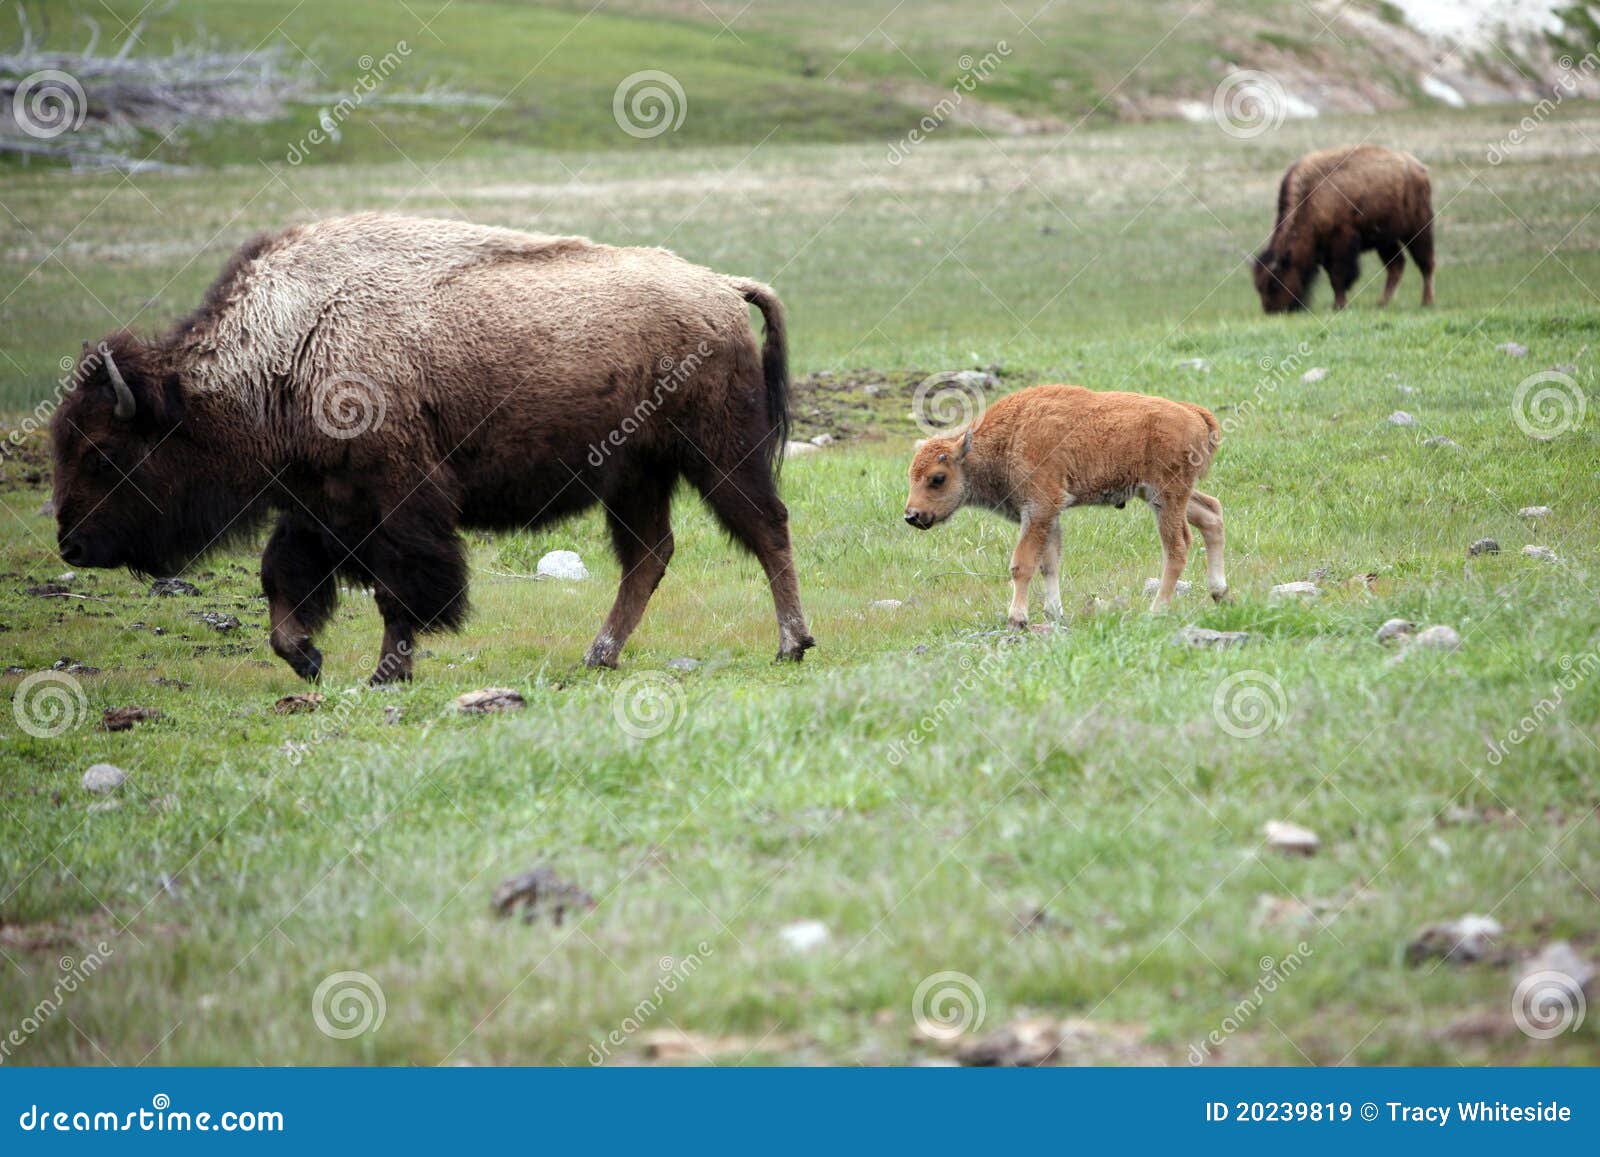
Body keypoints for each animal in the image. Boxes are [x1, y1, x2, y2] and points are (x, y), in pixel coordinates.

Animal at [52, 214, 814, 682]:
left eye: (103, 453)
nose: (70, 544)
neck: (291, 343)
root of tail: (722, 287)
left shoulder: (398, 502)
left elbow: (403, 592)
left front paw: (385, 674)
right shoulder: (318, 505)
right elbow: (283, 577)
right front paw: (308, 659)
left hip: (718, 454)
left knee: (765, 527)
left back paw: (792, 643)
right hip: (637, 476)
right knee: (650, 555)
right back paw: (599, 654)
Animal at [1253, 144, 1435, 313]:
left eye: (1275, 283)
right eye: (1258, 286)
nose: (1273, 311)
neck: (1310, 196)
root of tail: (1419, 168)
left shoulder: (1342, 241)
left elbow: (1338, 276)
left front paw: (1339, 305)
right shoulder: (1326, 250)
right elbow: (1333, 276)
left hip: (1418, 229)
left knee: (1426, 264)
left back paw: (1426, 302)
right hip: (1385, 241)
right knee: (1397, 266)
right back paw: (1381, 303)